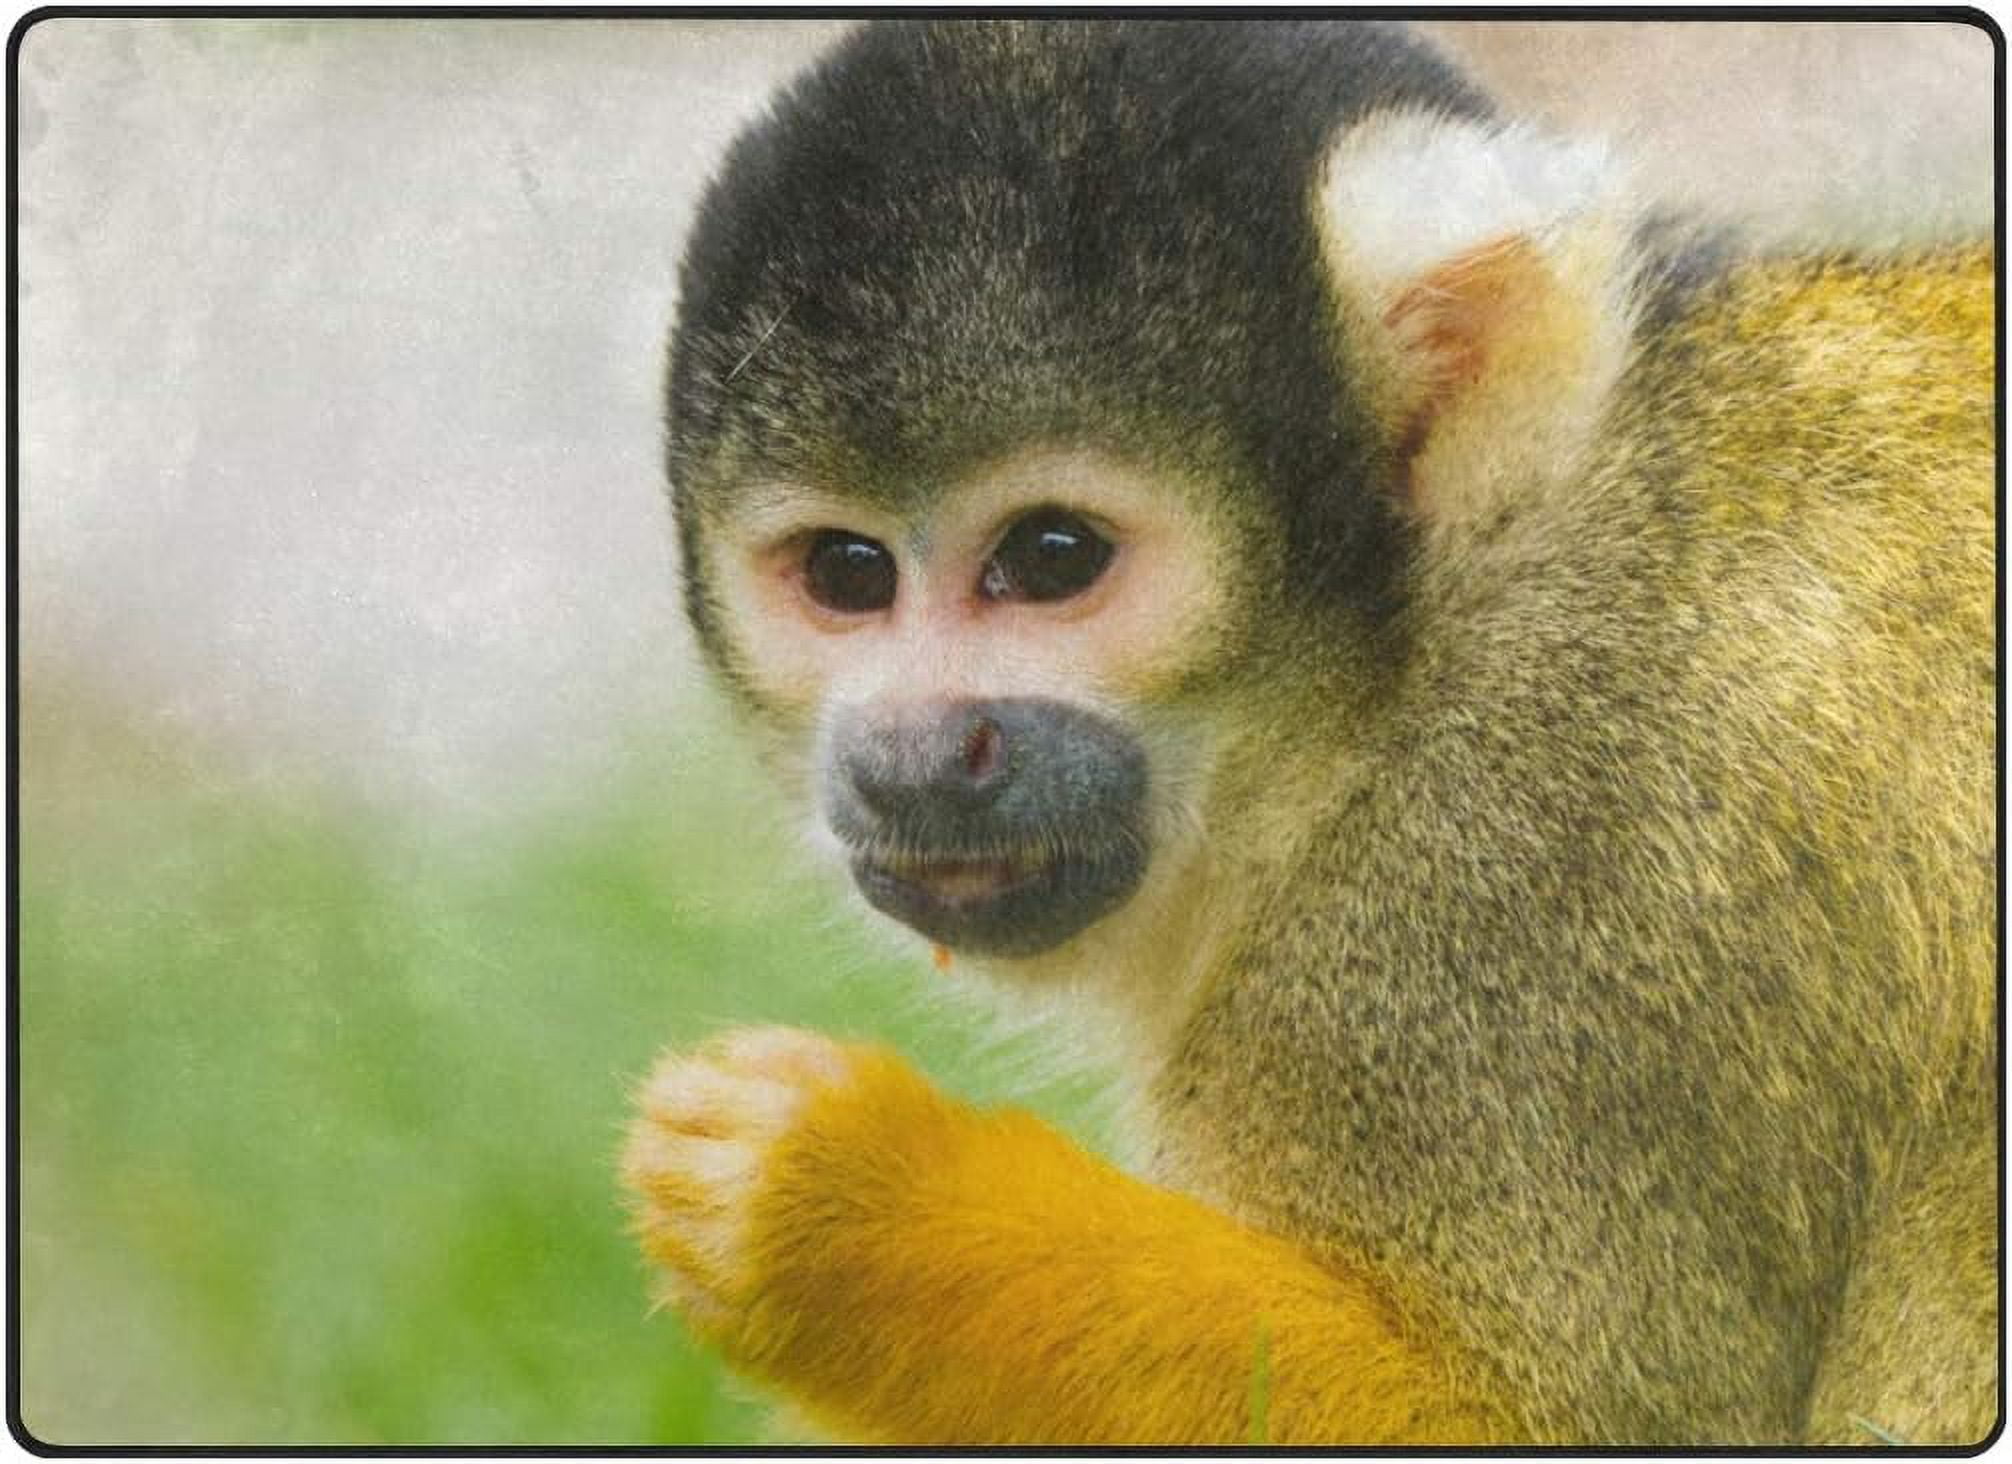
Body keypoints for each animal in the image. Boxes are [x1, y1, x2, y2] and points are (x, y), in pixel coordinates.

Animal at [619, 19, 1998, 1446]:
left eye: (1052, 555)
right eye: (846, 572)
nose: (915, 759)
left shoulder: (1530, 905)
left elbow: (1571, 1423)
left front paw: (835, 1201)